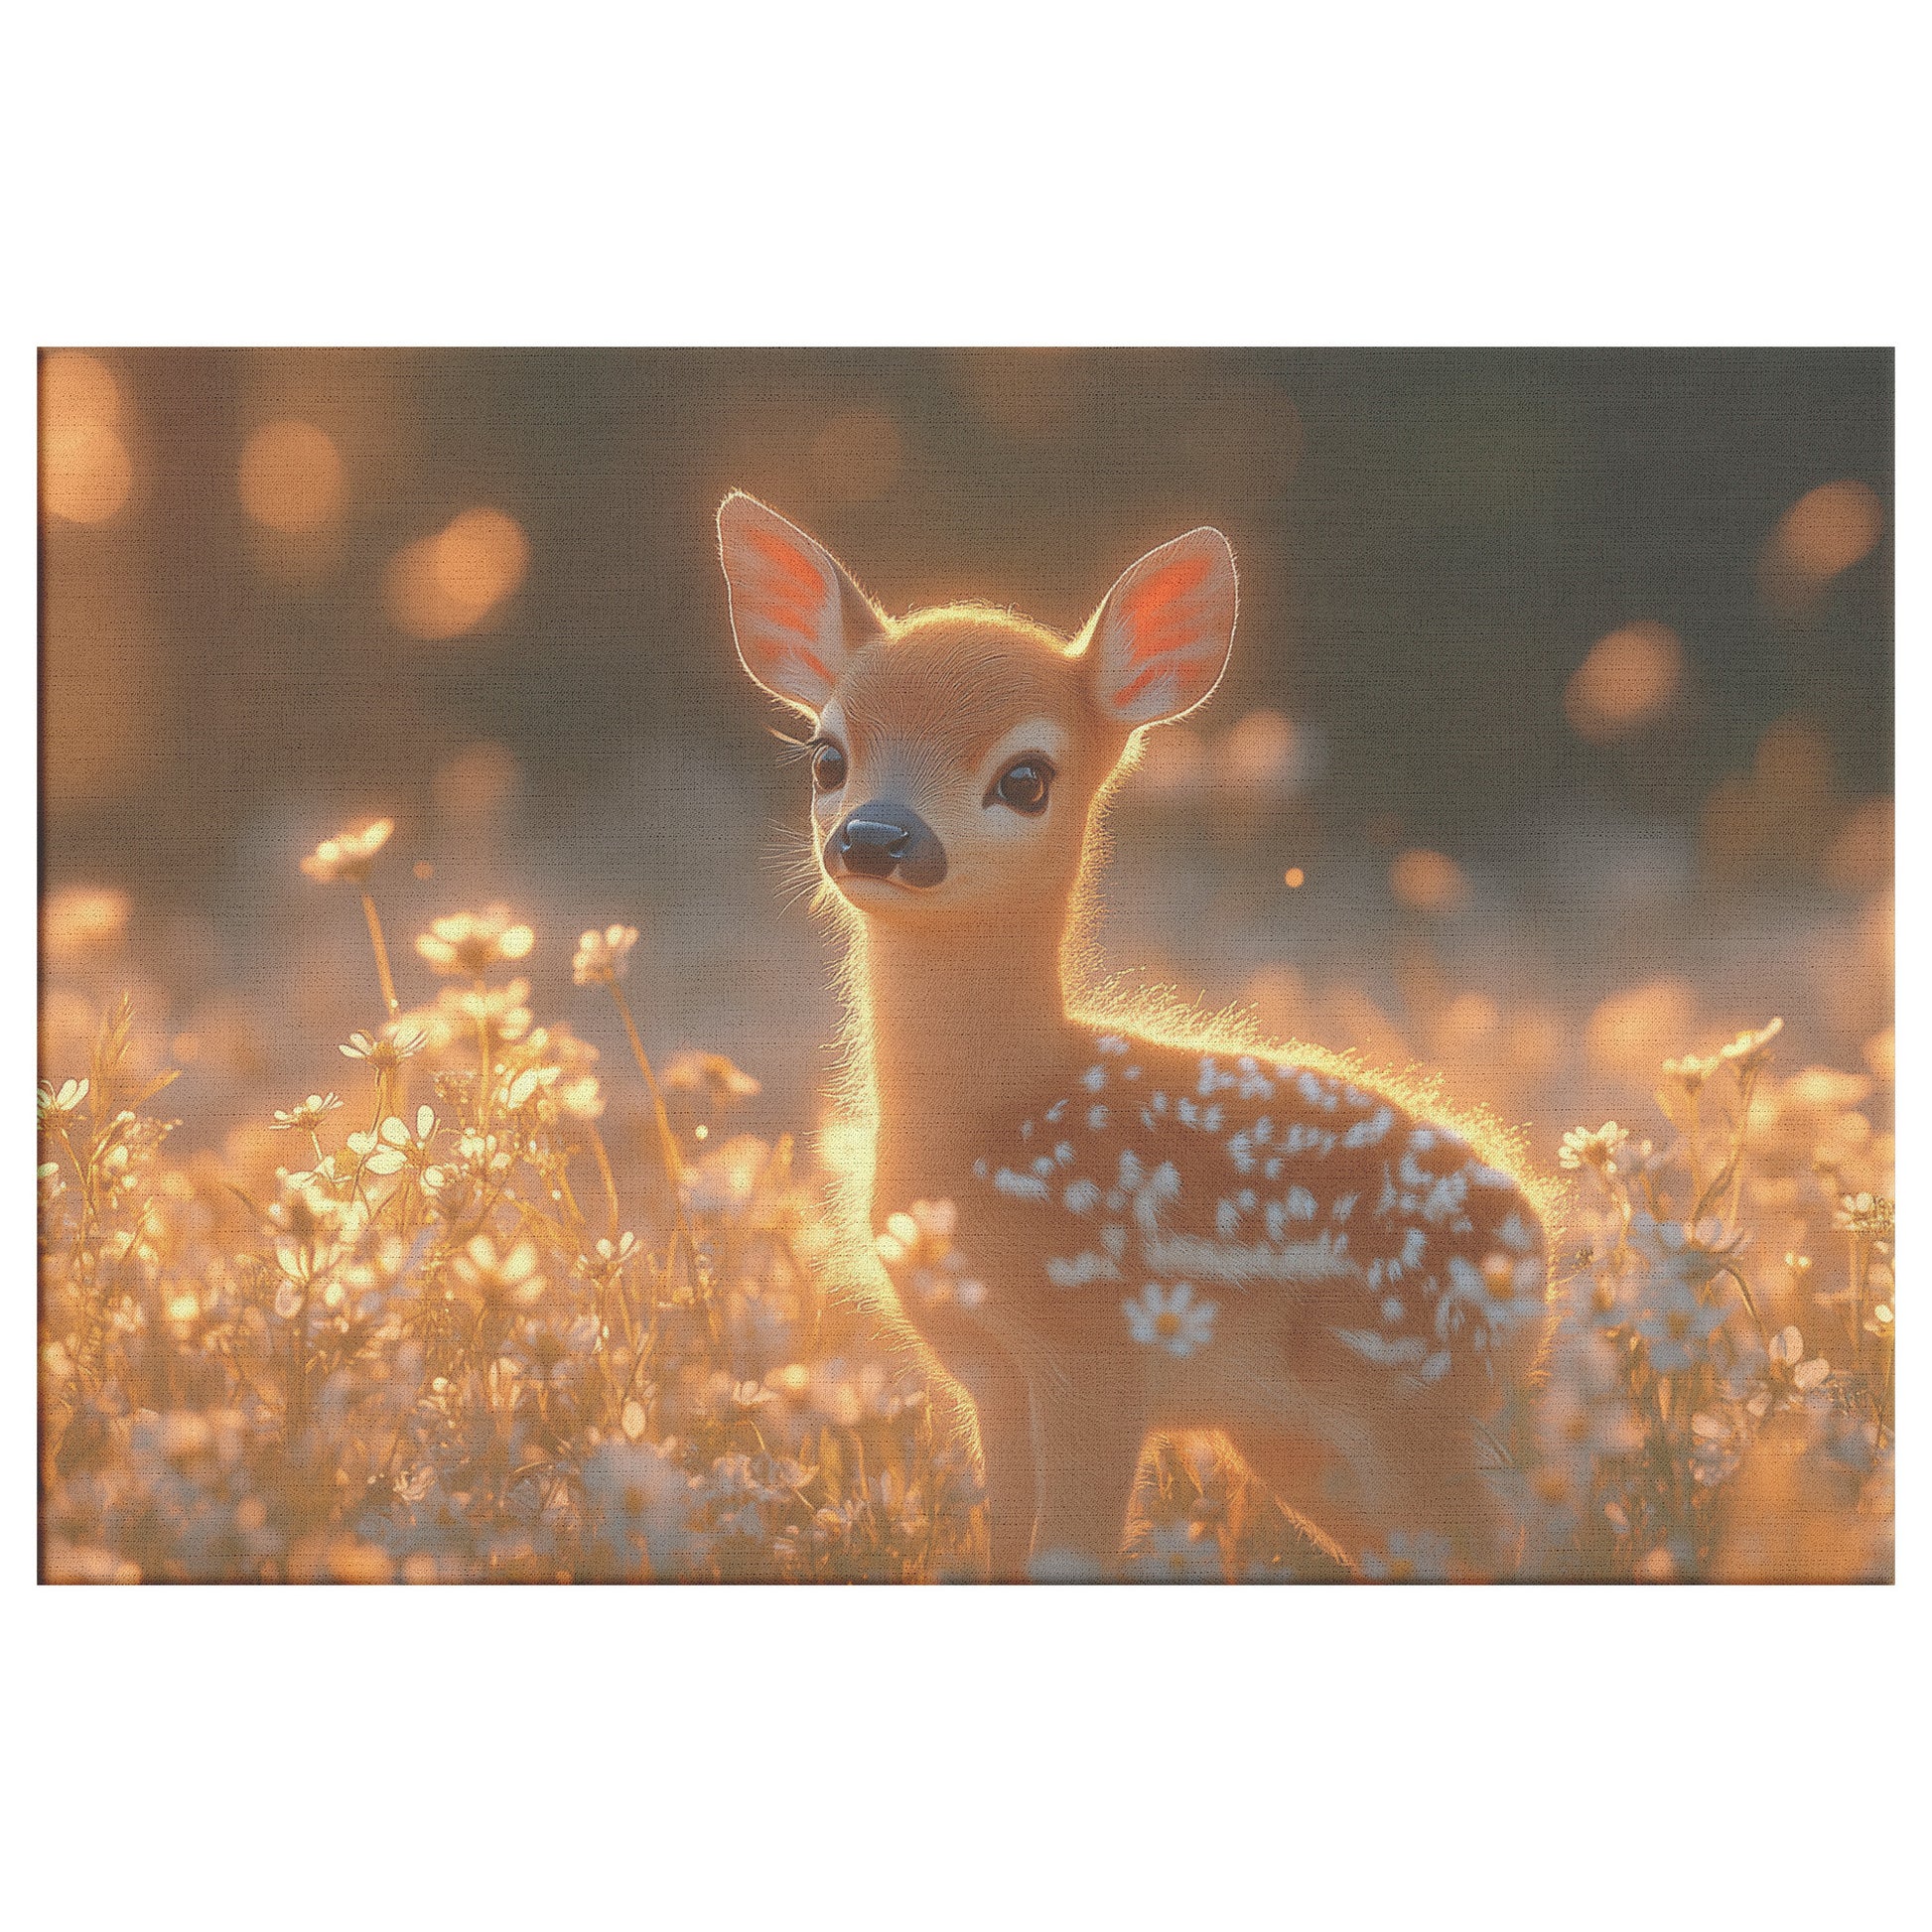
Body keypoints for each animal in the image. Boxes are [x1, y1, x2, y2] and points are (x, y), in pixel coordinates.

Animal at [717, 491, 1554, 1581]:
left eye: (1025, 778)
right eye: (827, 755)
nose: (876, 837)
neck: (991, 1119)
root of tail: (1539, 1263)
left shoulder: (1094, 1346)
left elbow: (1068, 1553)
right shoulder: (991, 1371)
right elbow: (1005, 1547)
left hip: (1405, 1389)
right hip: (1302, 1437)